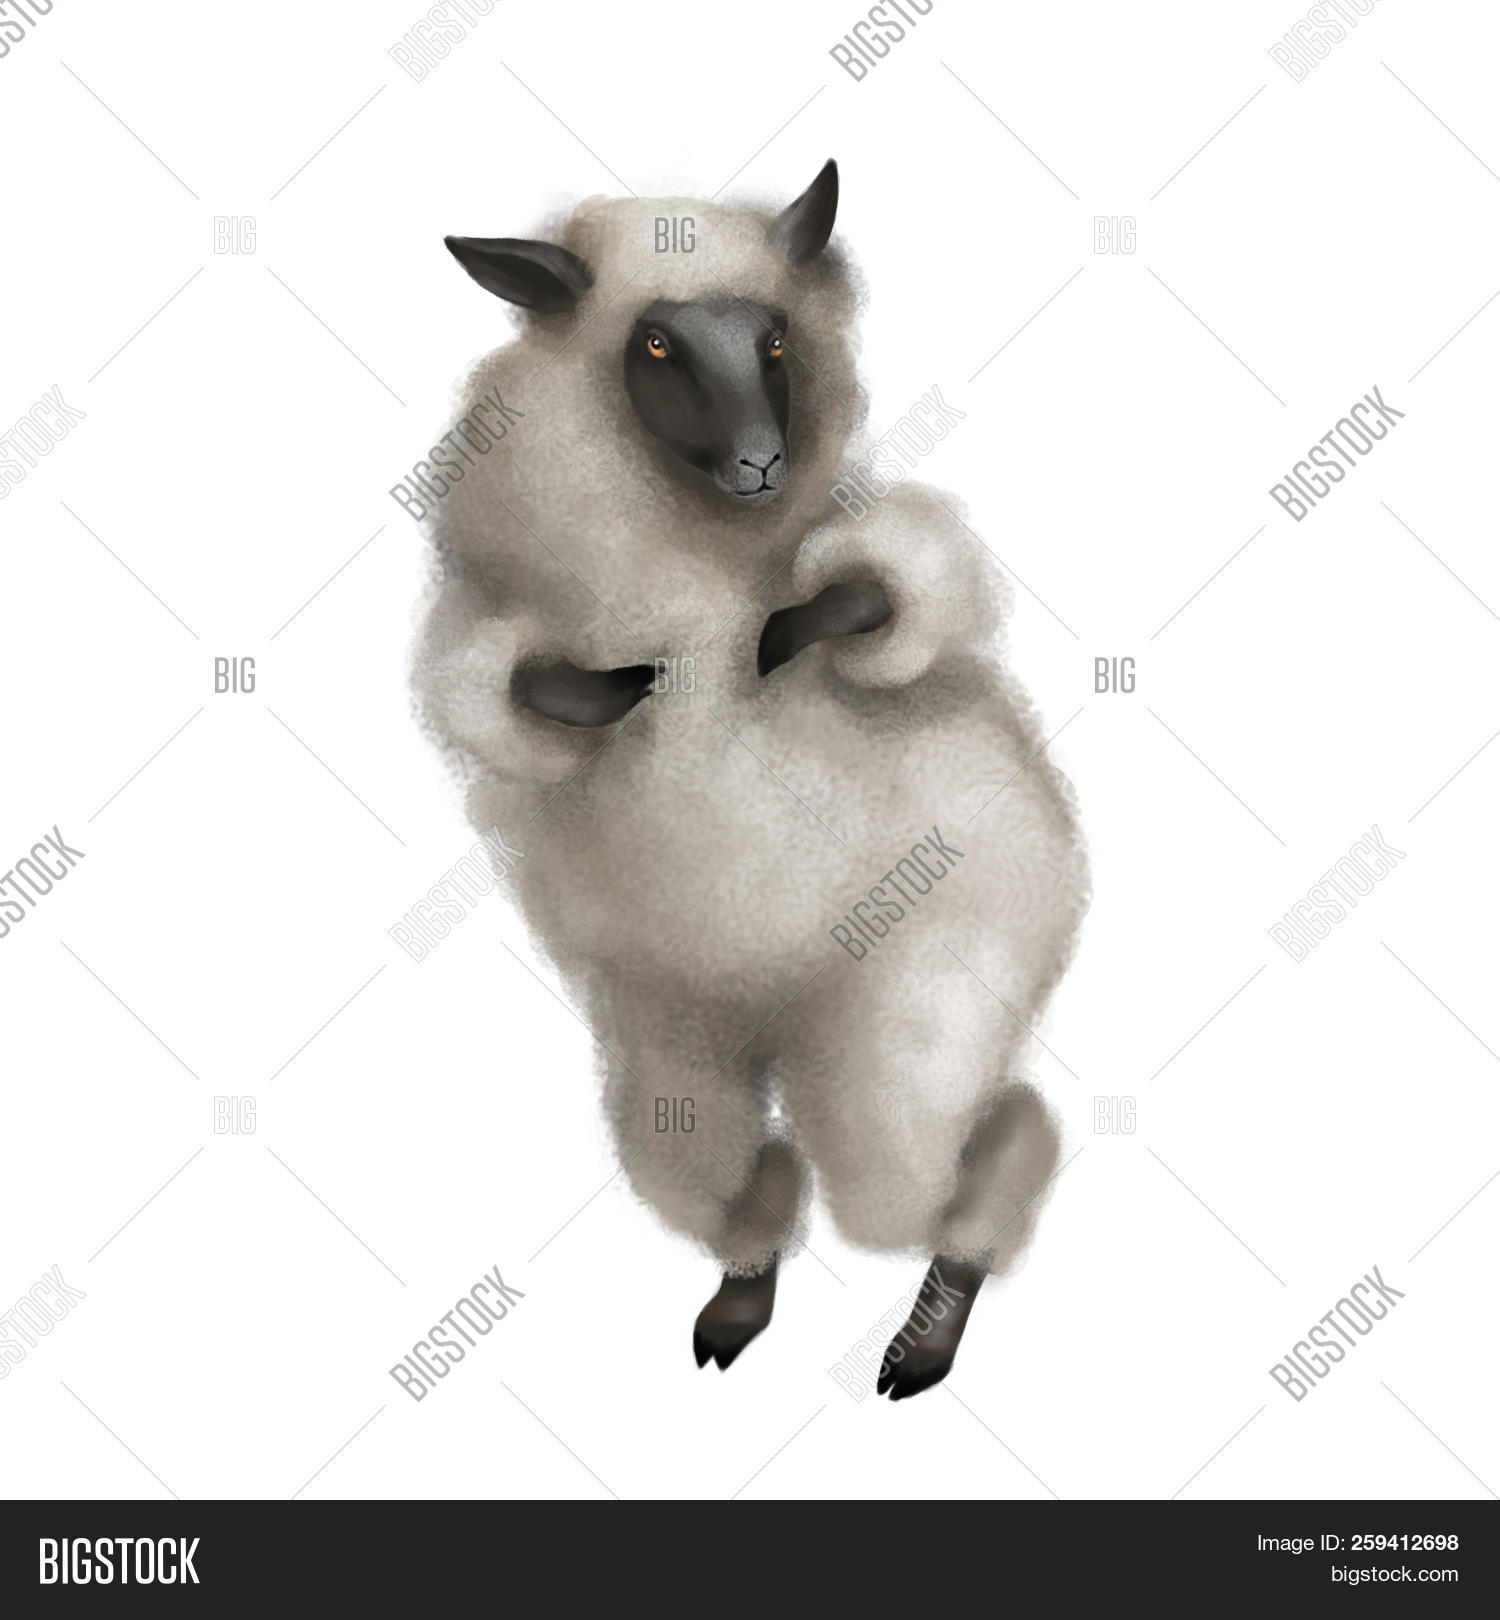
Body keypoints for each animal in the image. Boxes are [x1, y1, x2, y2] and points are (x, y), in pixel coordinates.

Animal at [412, 159, 1090, 1400]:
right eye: (658, 346)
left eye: (775, 340)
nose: (763, 465)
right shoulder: (481, 635)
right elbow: (493, 687)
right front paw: (610, 694)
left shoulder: (895, 577)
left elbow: (900, 591)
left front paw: (788, 636)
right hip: (671, 1044)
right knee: (715, 1166)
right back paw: (740, 1296)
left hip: (918, 1002)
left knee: (944, 1163)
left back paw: (926, 1337)